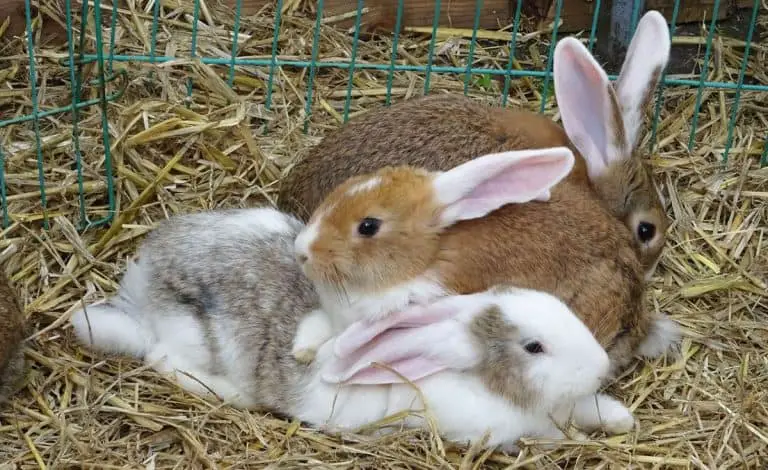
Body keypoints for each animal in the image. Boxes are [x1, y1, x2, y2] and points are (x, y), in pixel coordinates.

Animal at [69, 219, 635, 451]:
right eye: (533, 347)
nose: (600, 367)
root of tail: (142, 275)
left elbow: (587, 411)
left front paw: (620, 419)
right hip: (193, 336)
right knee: (163, 359)